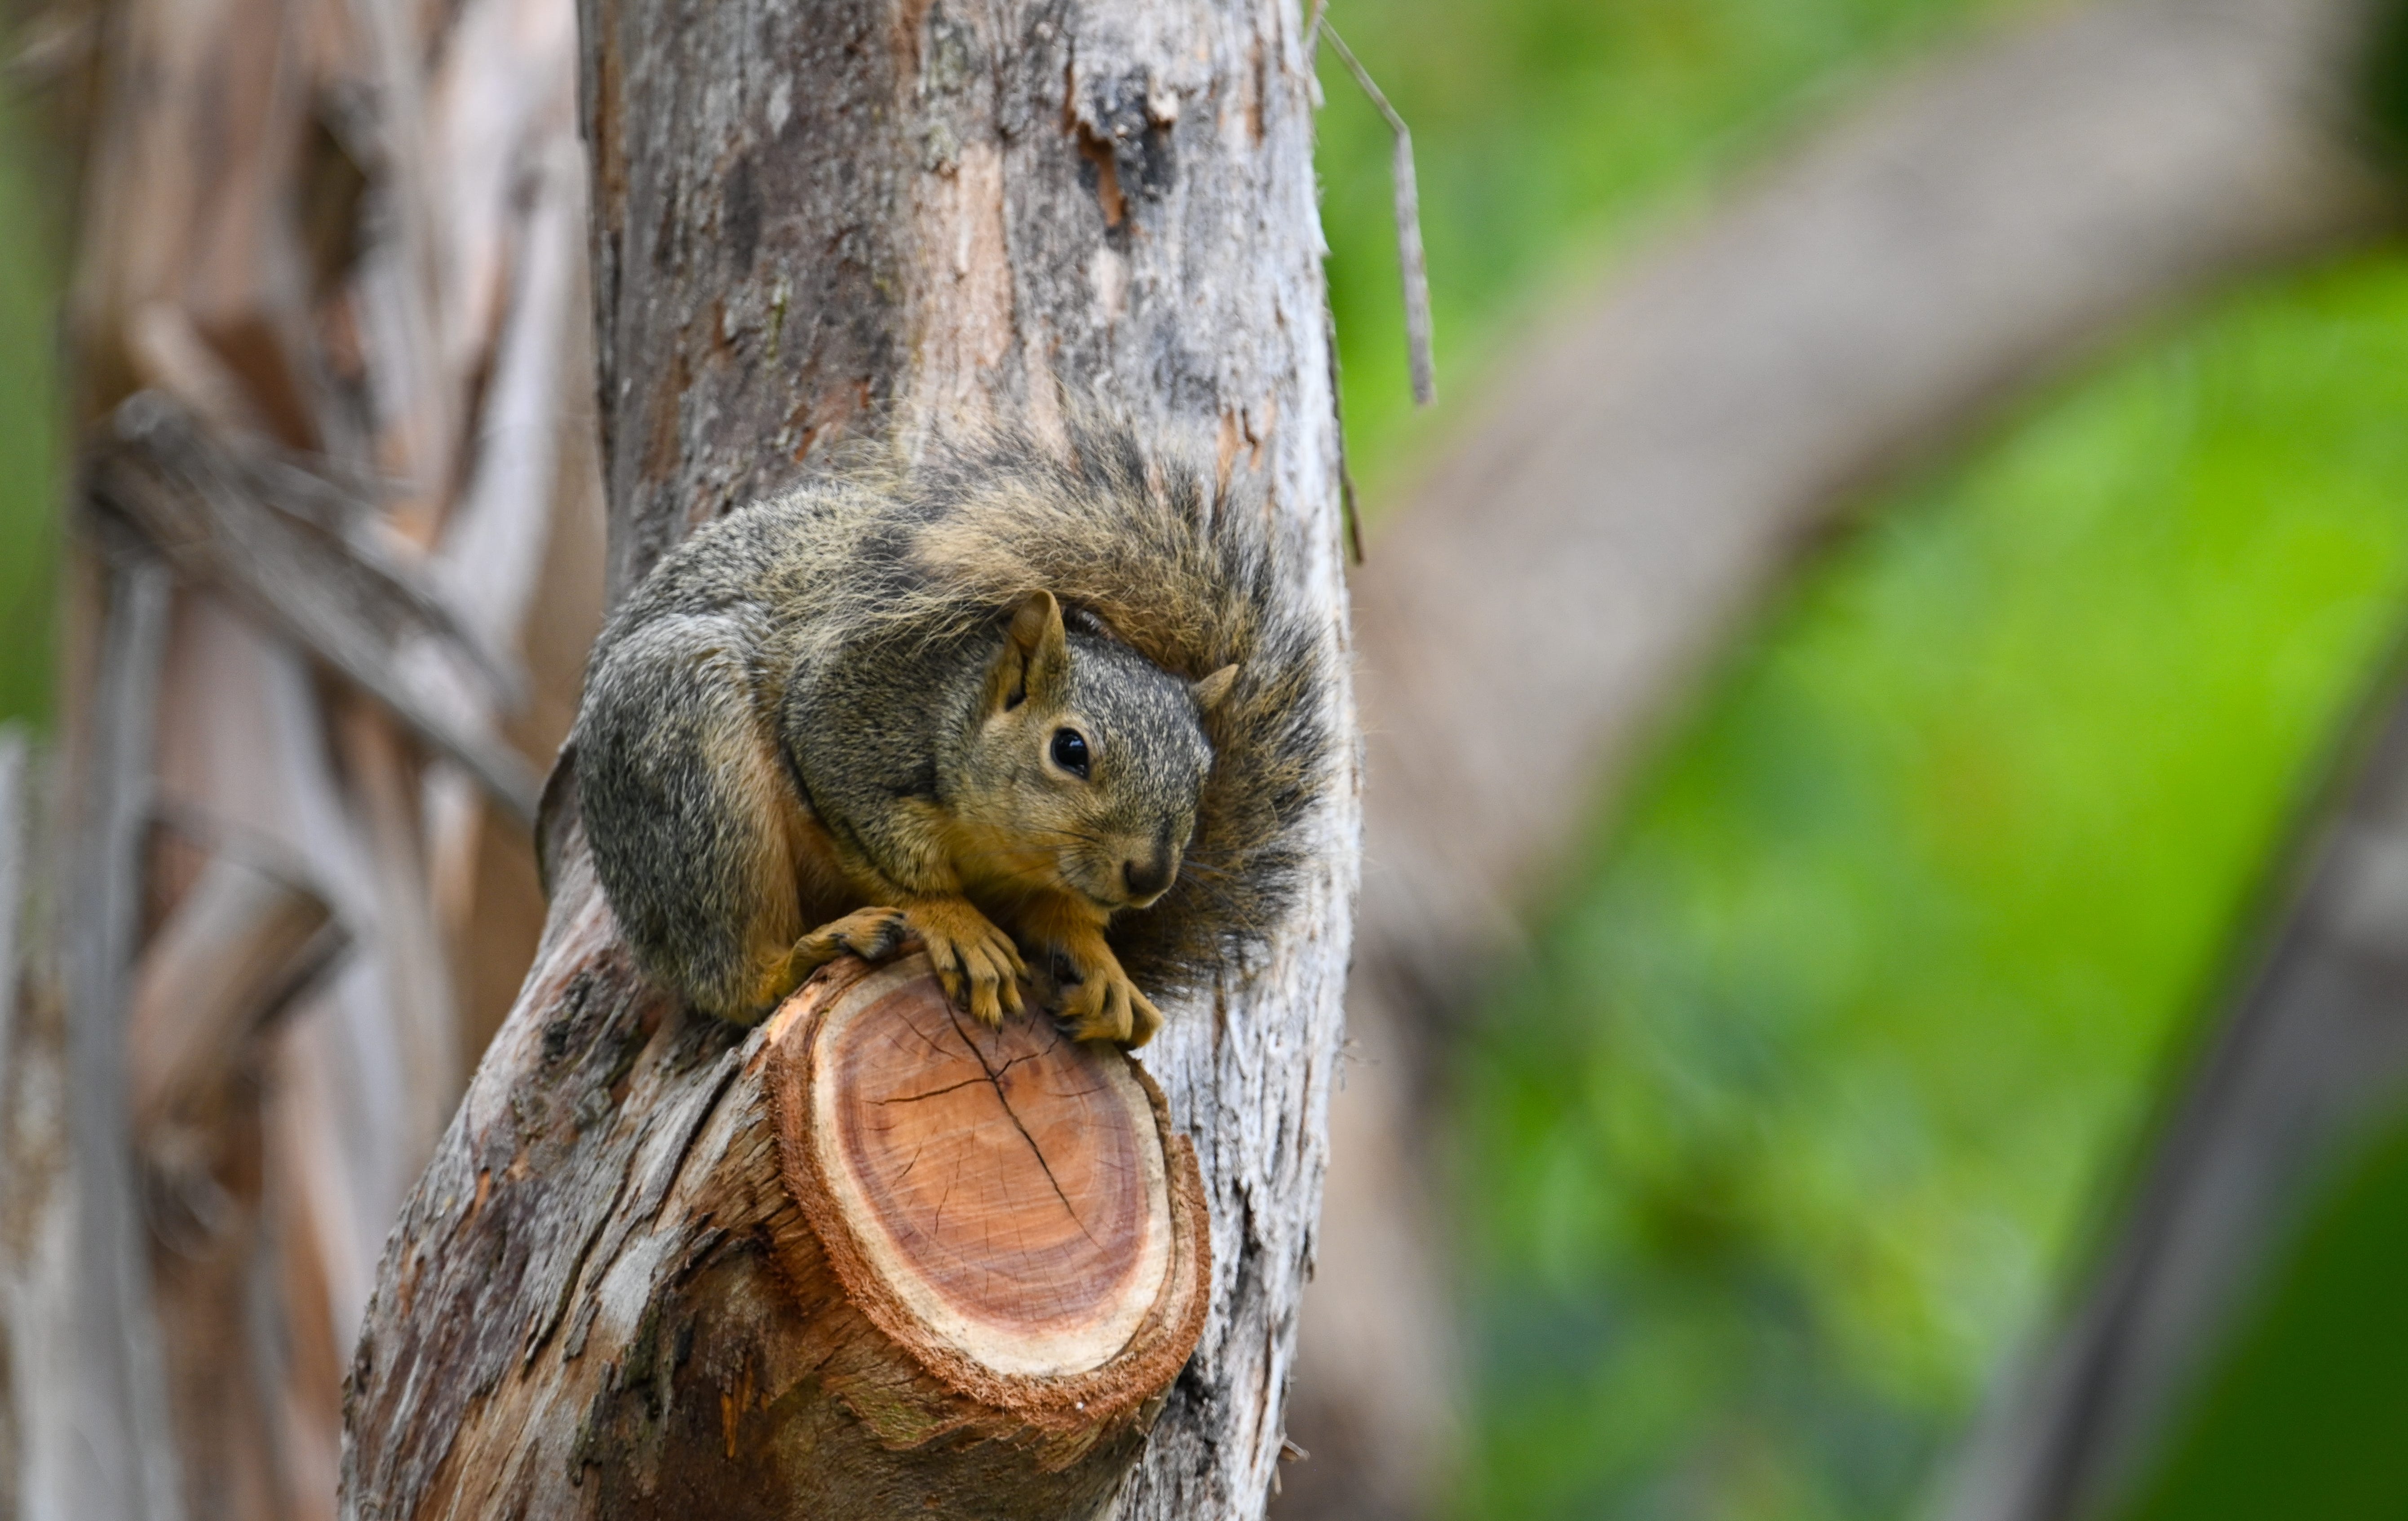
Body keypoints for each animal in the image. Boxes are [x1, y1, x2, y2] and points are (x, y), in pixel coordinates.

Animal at [569, 415, 1334, 1046]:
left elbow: (1062, 917)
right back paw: (809, 950)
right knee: (726, 978)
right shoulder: (844, 729)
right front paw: (956, 921)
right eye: (1070, 750)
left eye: (1204, 771)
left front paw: (1099, 962)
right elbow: (892, 856)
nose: (1149, 875)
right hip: (688, 756)